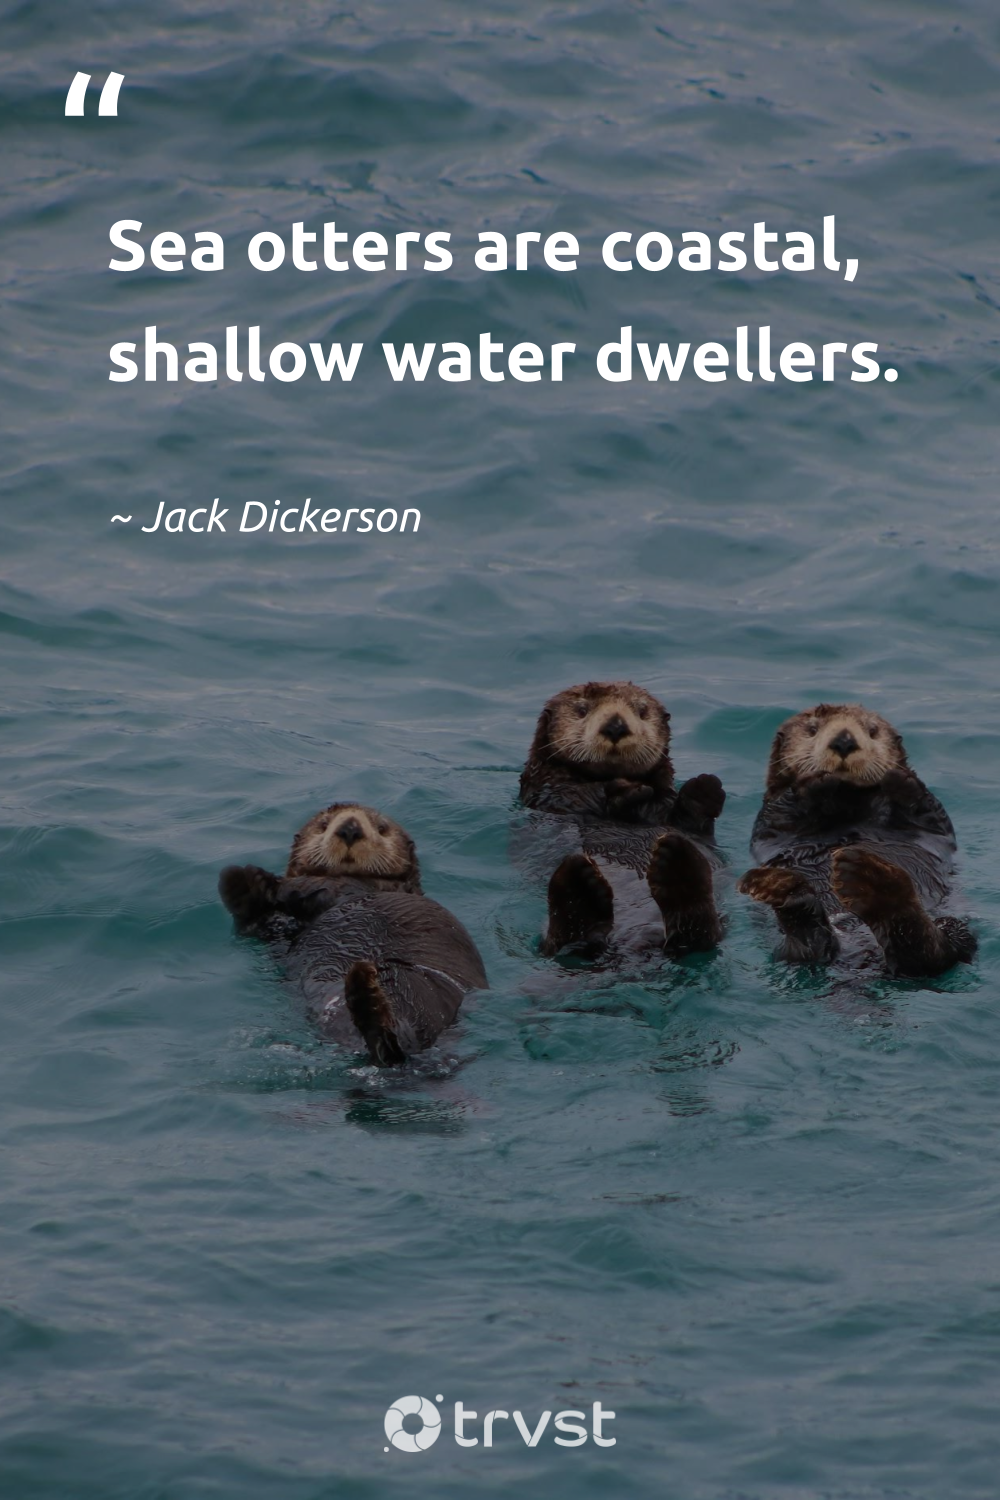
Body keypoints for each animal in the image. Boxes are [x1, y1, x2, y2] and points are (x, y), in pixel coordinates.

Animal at [219, 803, 487, 1065]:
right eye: (323, 824)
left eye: (381, 828)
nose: (350, 828)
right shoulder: (279, 934)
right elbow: (256, 924)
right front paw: (244, 884)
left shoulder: (350, 887)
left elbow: (315, 887)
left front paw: (260, 880)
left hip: (420, 991)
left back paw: (367, 995)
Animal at [519, 681, 726, 959]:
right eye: (582, 710)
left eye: (641, 711)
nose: (616, 726)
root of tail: (635, 942)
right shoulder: (551, 795)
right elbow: (579, 795)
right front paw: (626, 790)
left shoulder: (670, 813)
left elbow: (690, 821)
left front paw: (705, 788)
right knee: (561, 944)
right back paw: (579, 884)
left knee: (699, 935)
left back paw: (677, 864)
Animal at [738, 704, 977, 976]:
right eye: (812, 729)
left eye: (872, 731)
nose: (844, 741)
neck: (849, 804)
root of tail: (860, 955)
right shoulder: (771, 819)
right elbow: (782, 811)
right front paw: (817, 782)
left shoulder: (933, 822)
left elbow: (929, 813)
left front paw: (899, 778)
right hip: (783, 951)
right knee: (809, 951)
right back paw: (790, 893)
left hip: (955, 927)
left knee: (933, 954)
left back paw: (872, 882)